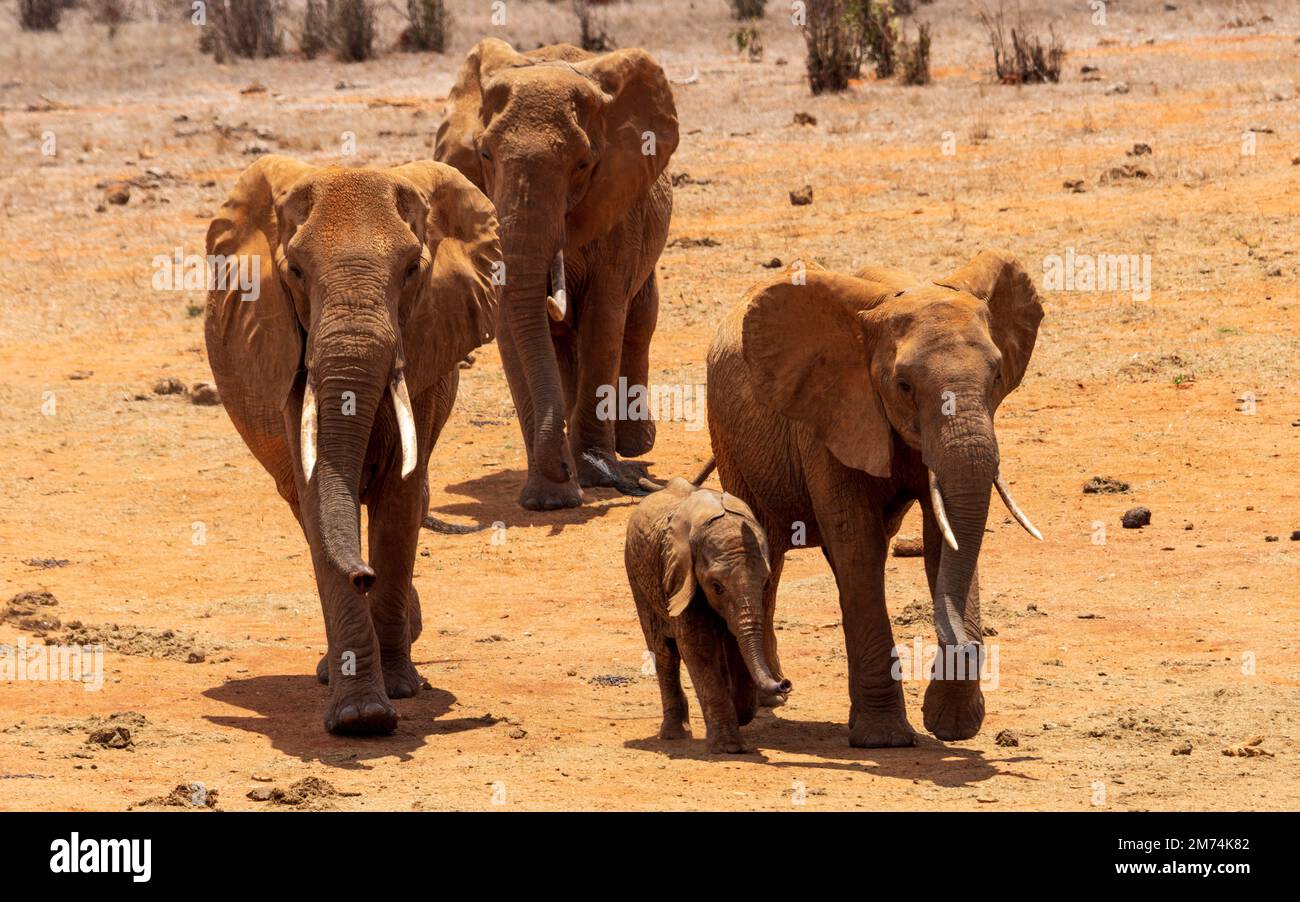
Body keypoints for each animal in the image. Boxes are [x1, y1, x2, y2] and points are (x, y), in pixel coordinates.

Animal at [204, 155, 499, 735]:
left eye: (412, 271)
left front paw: (400, 691)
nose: (363, 575)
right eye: (295, 272)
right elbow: (317, 493)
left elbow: (401, 496)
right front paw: (361, 719)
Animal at [435, 38, 679, 510]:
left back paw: (635, 444)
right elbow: (512, 329)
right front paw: (551, 494)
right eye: (485, 155)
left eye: (583, 164)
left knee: (639, 320)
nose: (567, 469)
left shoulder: (620, 211)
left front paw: (592, 472)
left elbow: (604, 319)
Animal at [625, 478, 791, 753]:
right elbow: (698, 645)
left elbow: (735, 644)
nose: (785, 684)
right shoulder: (680, 576)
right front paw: (729, 748)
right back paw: (674, 735)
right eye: (716, 586)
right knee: (664, 651)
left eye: (765, 580)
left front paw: (739, 712)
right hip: (637, 578)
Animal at [704, 250, 1044, 747]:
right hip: (729, 436)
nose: (969, 644)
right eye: (904, 386)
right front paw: (883, 739)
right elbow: (857, 545)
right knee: (766, 546)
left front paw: (953, 728)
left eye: (998, 375)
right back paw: (766, 701)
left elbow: (944, 540)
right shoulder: (830, 414)